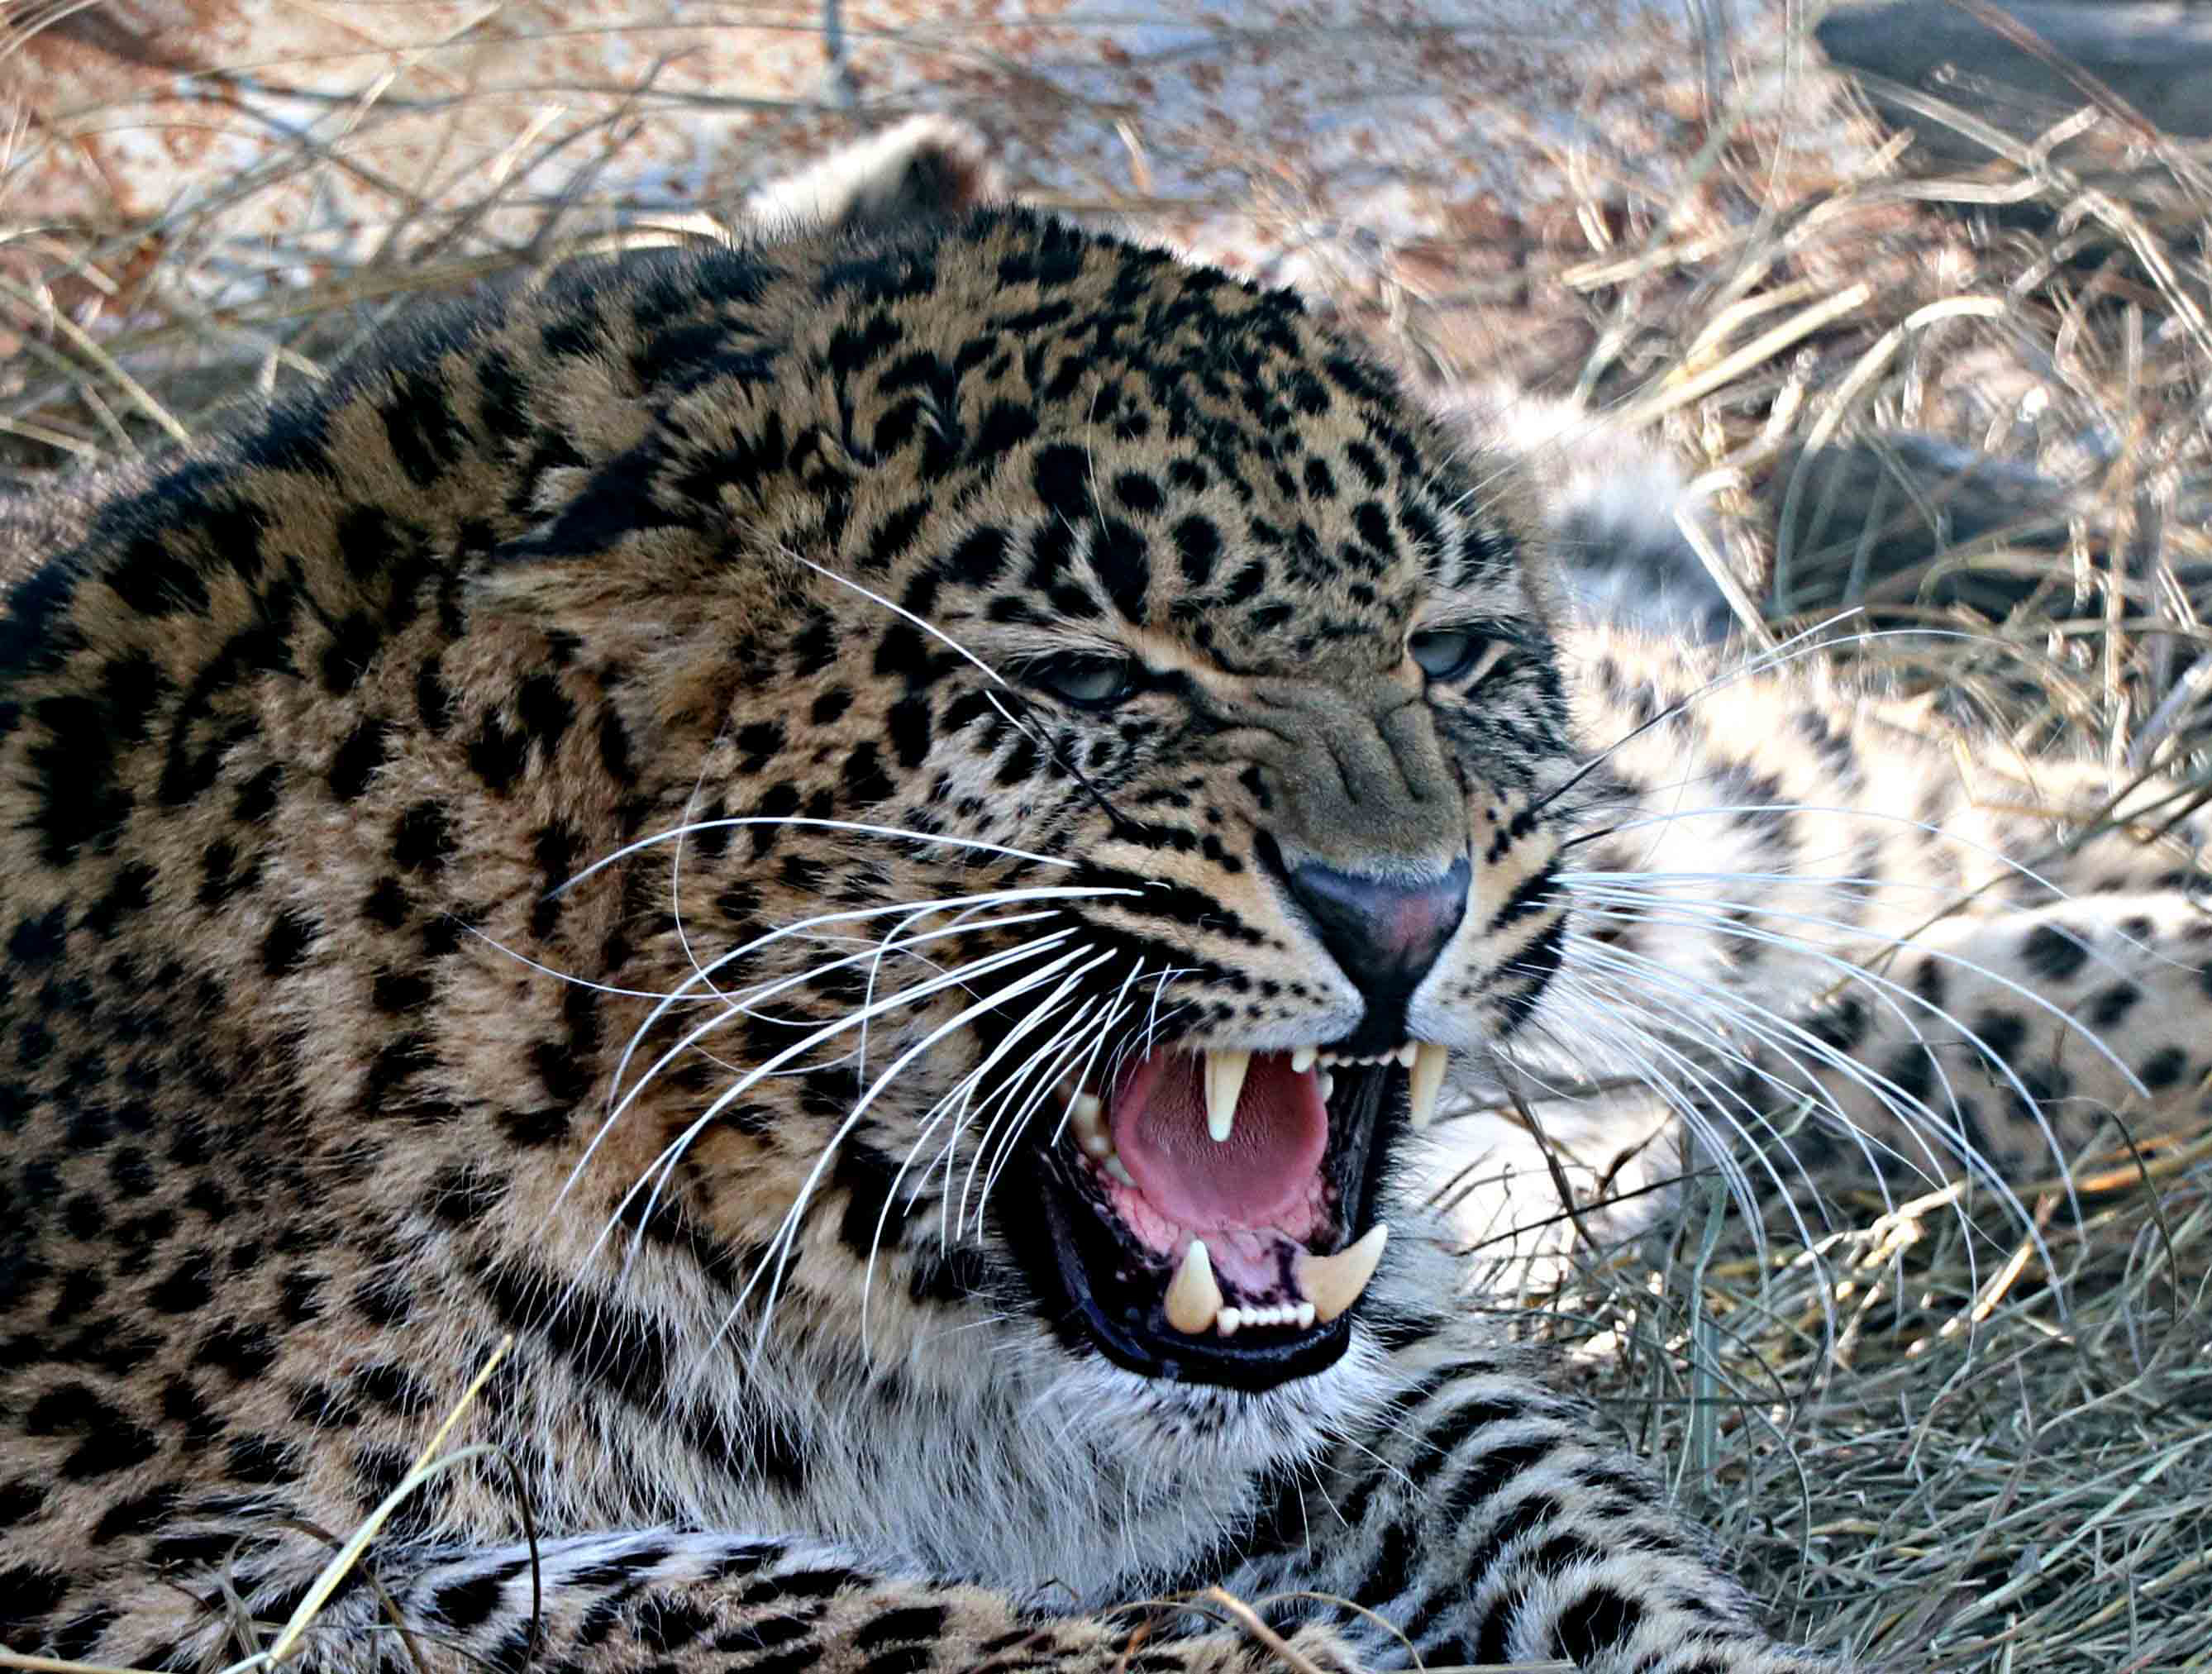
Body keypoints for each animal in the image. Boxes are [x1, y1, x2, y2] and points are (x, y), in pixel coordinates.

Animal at [3, 119, 2209, 1674]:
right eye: (1088, 686)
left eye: (1453, 657)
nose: (1400, 912)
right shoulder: (112, 1561)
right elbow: (709, 1605)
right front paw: (1274, 1645)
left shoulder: (1377, 1356)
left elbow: (1578, 1532)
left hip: (1679, 848)